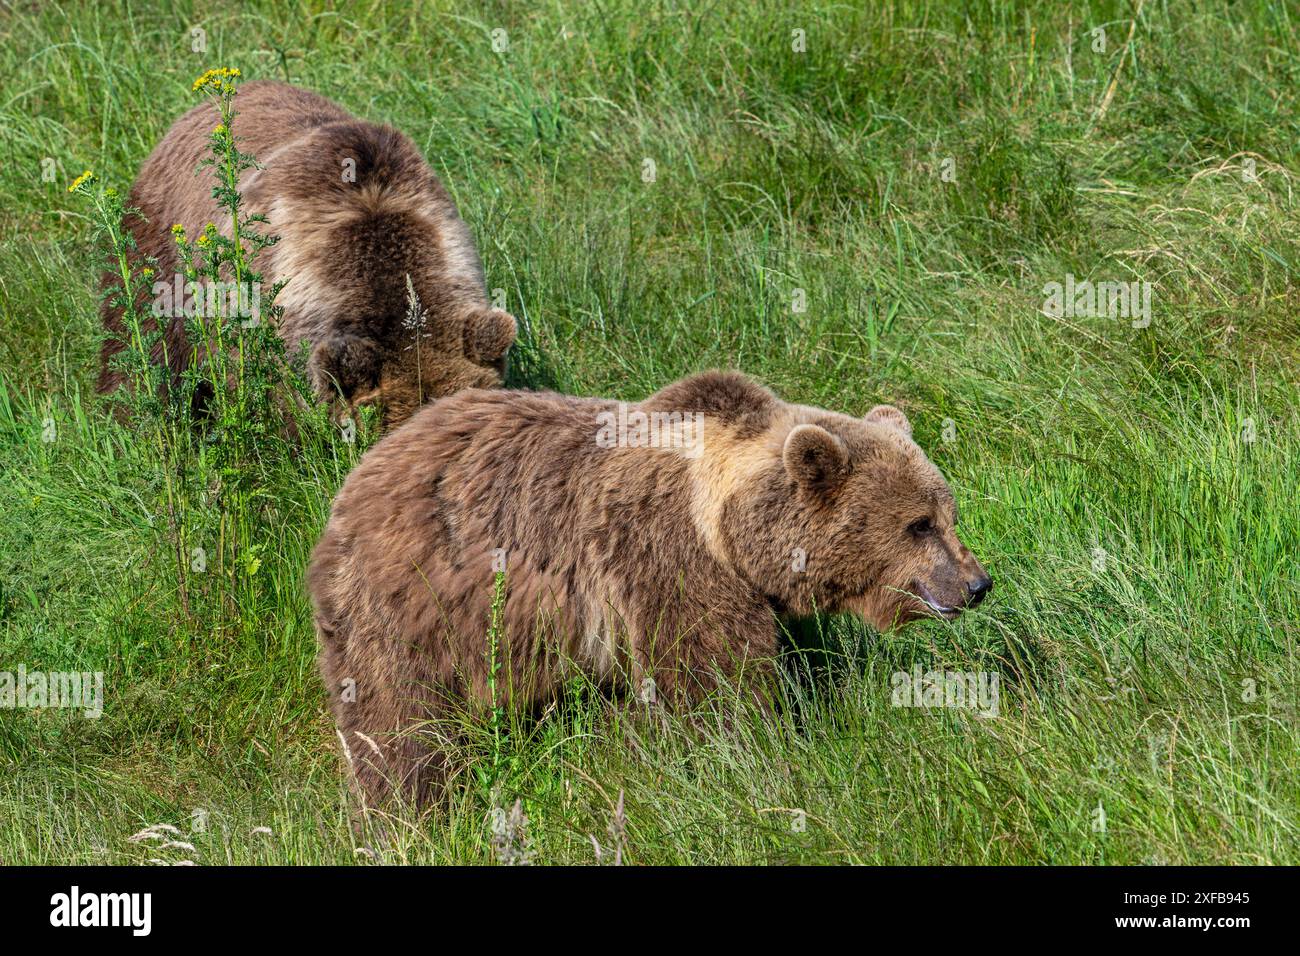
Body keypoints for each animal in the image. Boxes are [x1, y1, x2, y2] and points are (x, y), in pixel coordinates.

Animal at [308, 370, 992, 807]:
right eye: (918, 524)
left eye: (950, 512)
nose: (977, 583)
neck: (726, 523)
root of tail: (355, 480)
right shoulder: (666, 554)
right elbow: (711, 677)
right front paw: (751, 755)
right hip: (412, 601)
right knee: (396, 715)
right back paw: (405, 808)